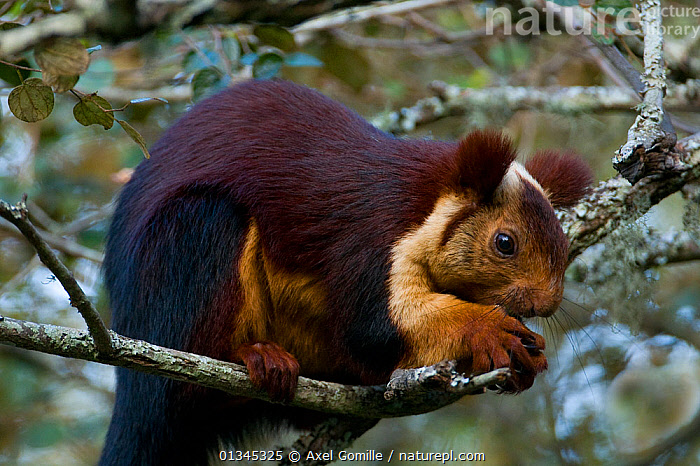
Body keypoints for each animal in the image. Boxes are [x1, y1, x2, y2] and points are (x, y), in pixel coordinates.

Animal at [100, 79, 592, 465]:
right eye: (504, 242)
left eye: (563, 242)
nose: (546, 303)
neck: (427, 203)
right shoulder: (371, 237)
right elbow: (372, 329)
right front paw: (490, 331)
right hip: (193, 241)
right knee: (185, 384)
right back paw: (252, 356)